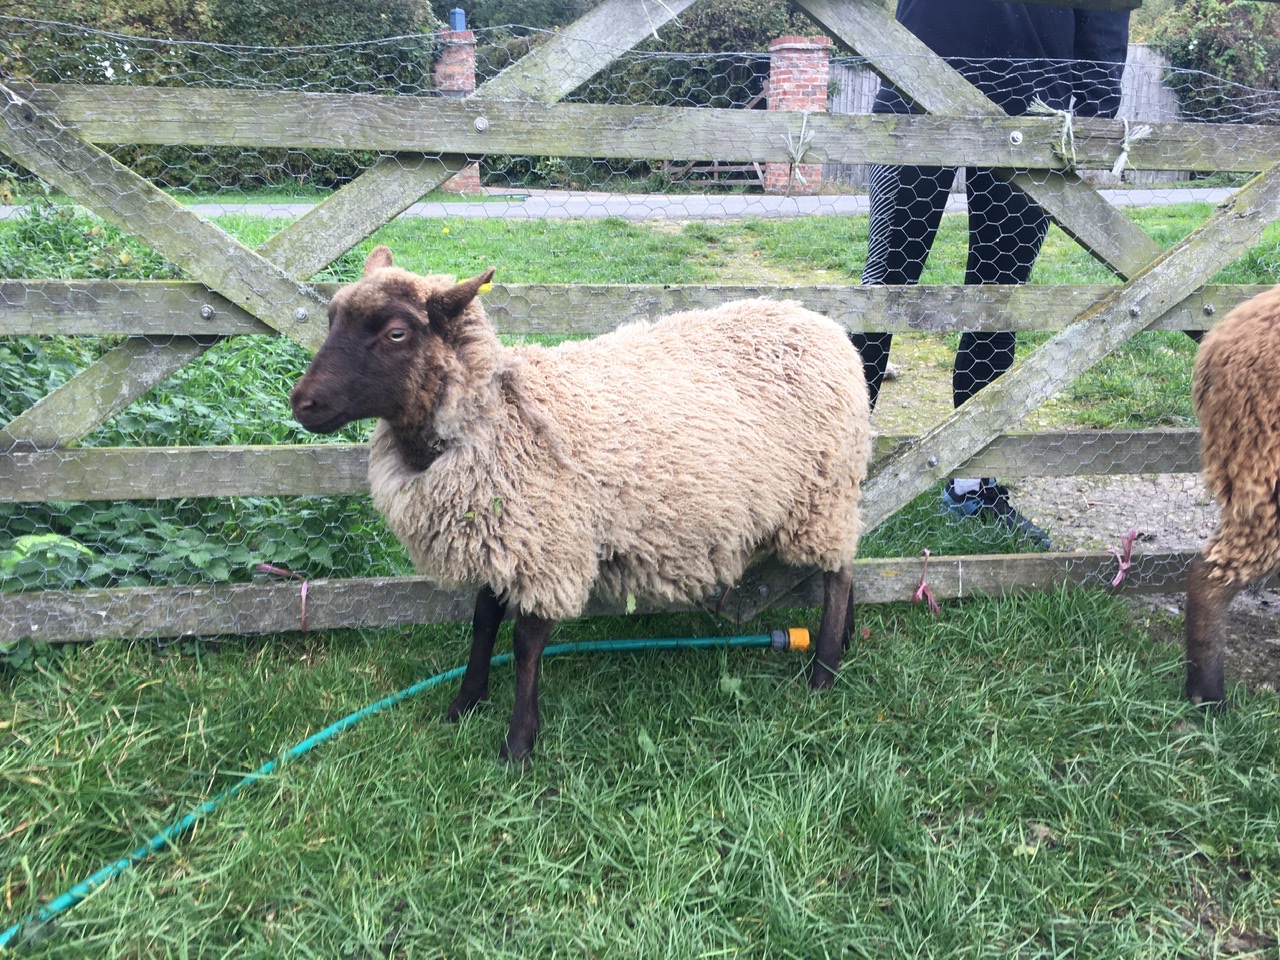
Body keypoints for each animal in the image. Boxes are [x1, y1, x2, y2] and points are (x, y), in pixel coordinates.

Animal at [290, 246, 872, 761]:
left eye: (396, 333)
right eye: (331, 318)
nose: (303, 403)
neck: (494, 420)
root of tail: (821, 325)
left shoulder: (550, 547)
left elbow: (526, 644)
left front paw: (518, 745)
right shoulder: (503, 534)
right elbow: (483, 622)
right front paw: (465, 703)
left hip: (823, 493)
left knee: (839, 572)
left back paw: (823, 672)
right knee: (849, 563)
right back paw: (843, 642)